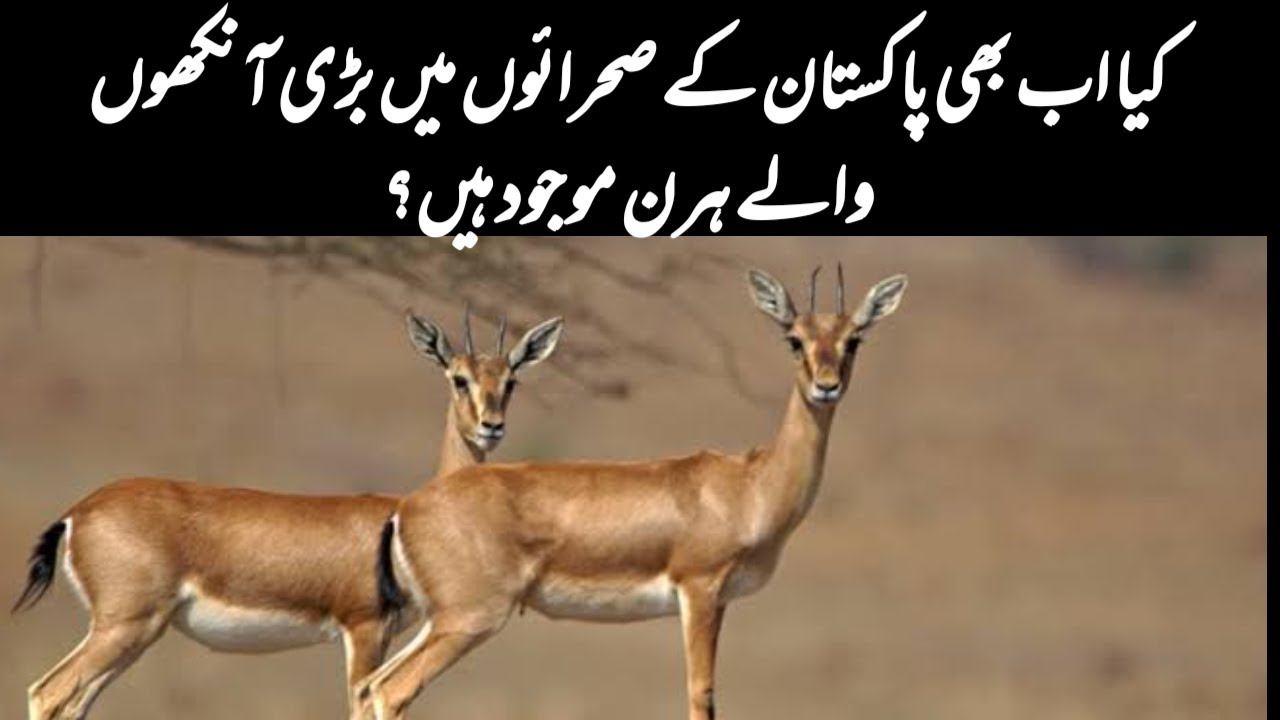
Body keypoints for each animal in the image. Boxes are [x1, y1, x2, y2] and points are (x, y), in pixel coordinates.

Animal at [12, 306, 565, 720]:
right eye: (458, 378)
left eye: (511, 381)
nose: (491, 427)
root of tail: (77, 512)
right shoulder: (364, 628)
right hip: (123, 626)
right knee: (46, 692)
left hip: (136, 634)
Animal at [353, 266, 908, 720]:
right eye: (793, 338)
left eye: (854, 340)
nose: (826, 386)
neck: (750, 485)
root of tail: (407, 509)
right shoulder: (699, 591)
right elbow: (700, 694)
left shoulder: (720, 601)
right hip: (469, 618)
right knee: (391, 690)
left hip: (437, 621)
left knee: (370, 686)